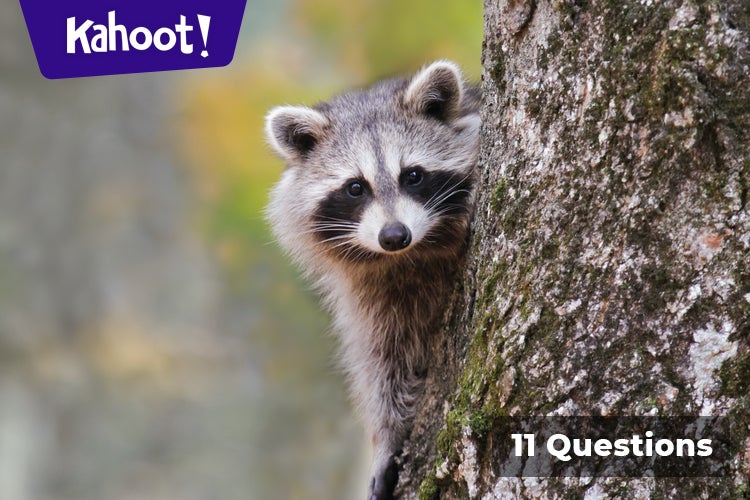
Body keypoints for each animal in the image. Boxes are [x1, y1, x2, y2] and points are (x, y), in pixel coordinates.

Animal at [265, 61, 480, 499]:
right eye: (355, 187)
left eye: (412, 175)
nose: (394, 235)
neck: (413, 255)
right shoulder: (370, 291)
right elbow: (382, 357)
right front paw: (388, 436)